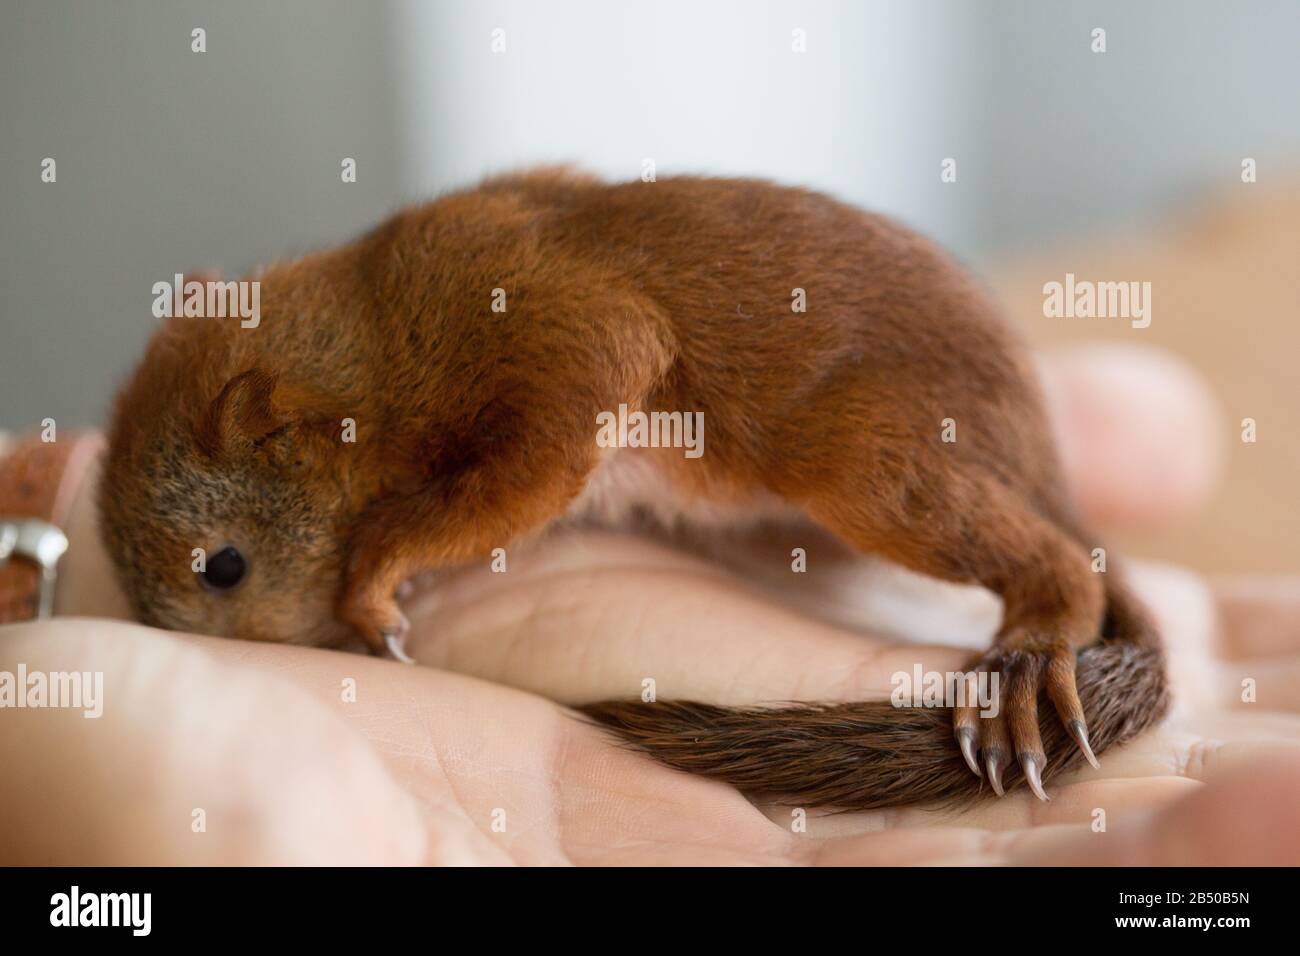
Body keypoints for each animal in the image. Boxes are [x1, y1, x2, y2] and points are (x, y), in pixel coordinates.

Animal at [99, 168, 1170, 810]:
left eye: (224, 567)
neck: (363, 330)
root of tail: (1042, 459)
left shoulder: (537, 333)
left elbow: (531, 458)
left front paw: (374, 578)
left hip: (871, 462)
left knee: (1060, 565)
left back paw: (1027, 659)